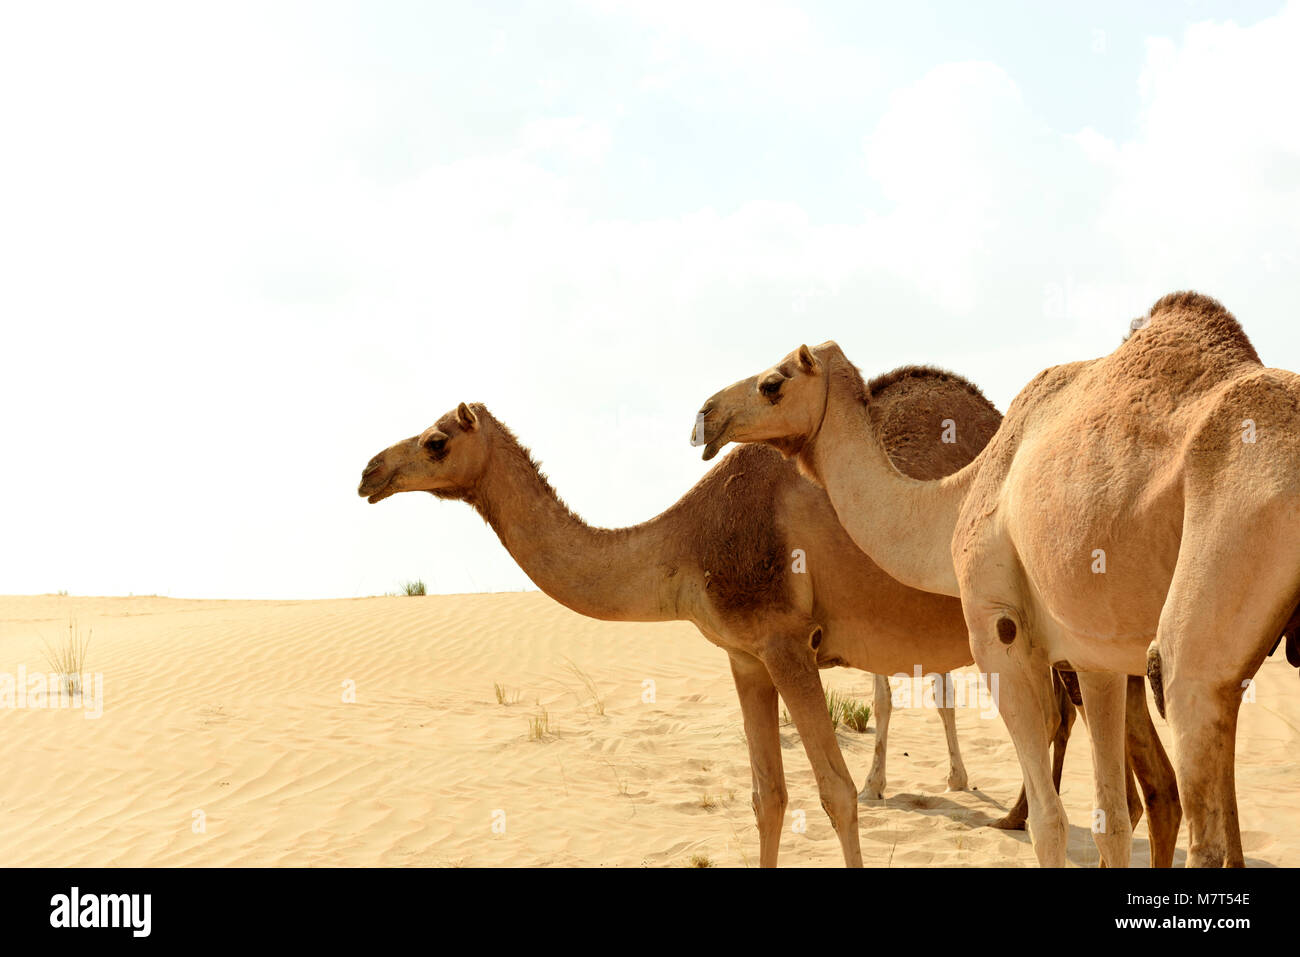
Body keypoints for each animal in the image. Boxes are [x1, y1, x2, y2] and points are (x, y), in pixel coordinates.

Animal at [358, 369, 1012, 867]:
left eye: (435, 441)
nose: (369, 472)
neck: (690, 540)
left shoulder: (786, 641)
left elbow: (838, 793)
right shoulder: (745, 656)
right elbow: (768, 797)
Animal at [692, 291, 1300, 867]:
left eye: (772, 383)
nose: (705, 416)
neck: (959, 497)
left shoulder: (999, 633)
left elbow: (1051, 822)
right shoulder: (1093, 657)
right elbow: (1111, 817)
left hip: (1208, 604)